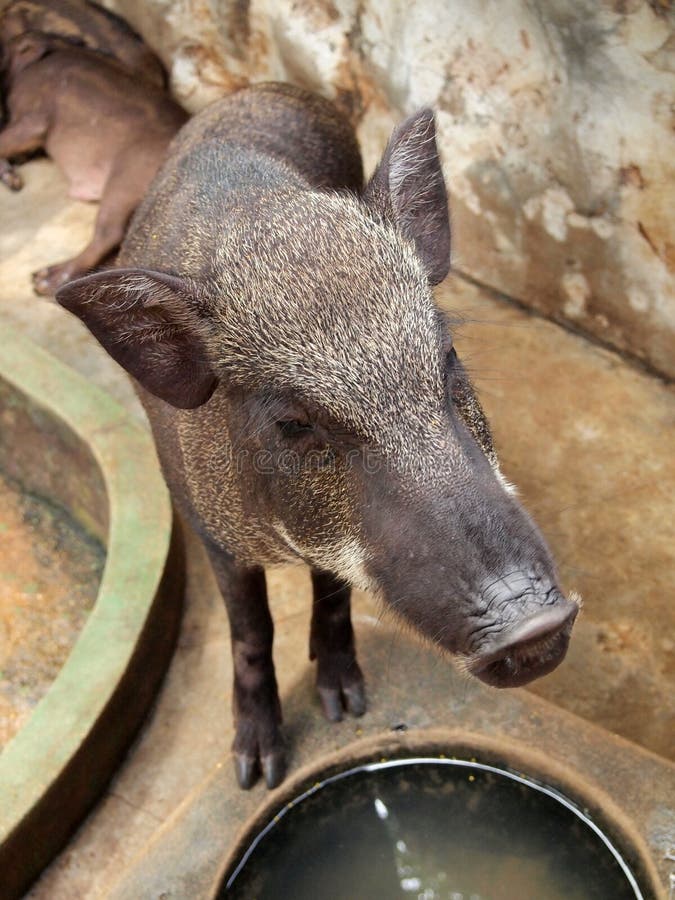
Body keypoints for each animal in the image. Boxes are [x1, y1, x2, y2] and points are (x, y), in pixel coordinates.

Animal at [57, 82, 579, 790]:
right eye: (293, 422)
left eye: (446, 359)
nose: (536, 624)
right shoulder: (206, 526)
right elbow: (250, 631)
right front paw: (257, 773)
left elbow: (332, 595)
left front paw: (346, 708)